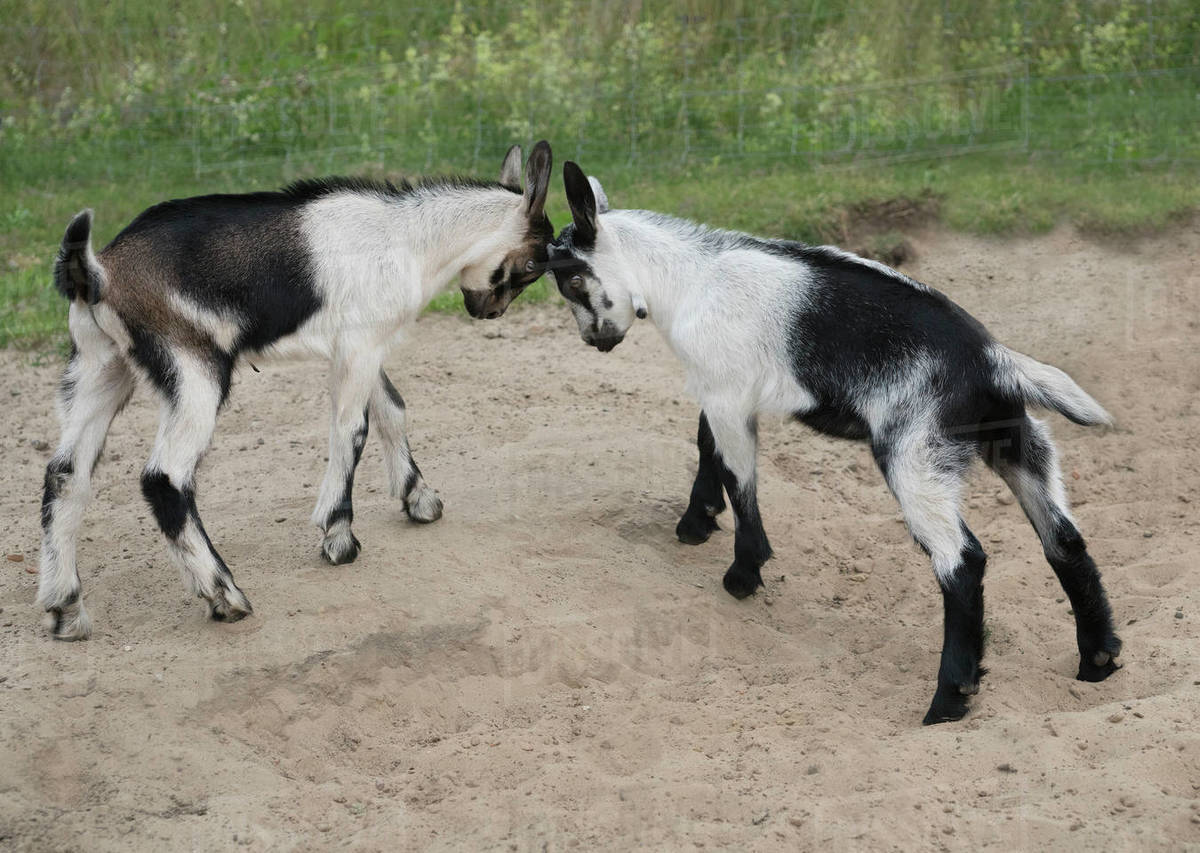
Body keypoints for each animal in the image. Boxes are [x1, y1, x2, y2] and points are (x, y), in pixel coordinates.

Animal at [38, 142, 553, 639]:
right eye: (532, 264)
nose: (488, 310)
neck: (411, 238)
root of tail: (96, 272)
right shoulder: (360, 345)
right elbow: (353, 430)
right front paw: (339, 537)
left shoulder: (362, 346)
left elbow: (391, 409)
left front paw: (418, 499)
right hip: (192, 367)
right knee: (164, 478)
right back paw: (225, 596)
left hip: (100, 365)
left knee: (66, 474)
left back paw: (65, 610)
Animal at [546, 161, 1121, 724]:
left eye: (573, 278)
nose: (595, 339)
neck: (692, 278)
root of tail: (991, 360)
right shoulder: (721, 389)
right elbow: (706, 445)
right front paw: (695, 524)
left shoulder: (727, 395)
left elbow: (738, 475)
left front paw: (742, 573)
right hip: (1017, 441)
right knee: (1063, 539)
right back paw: (1097, 661)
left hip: (916, 457)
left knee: (962, 562)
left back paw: (947, 701)